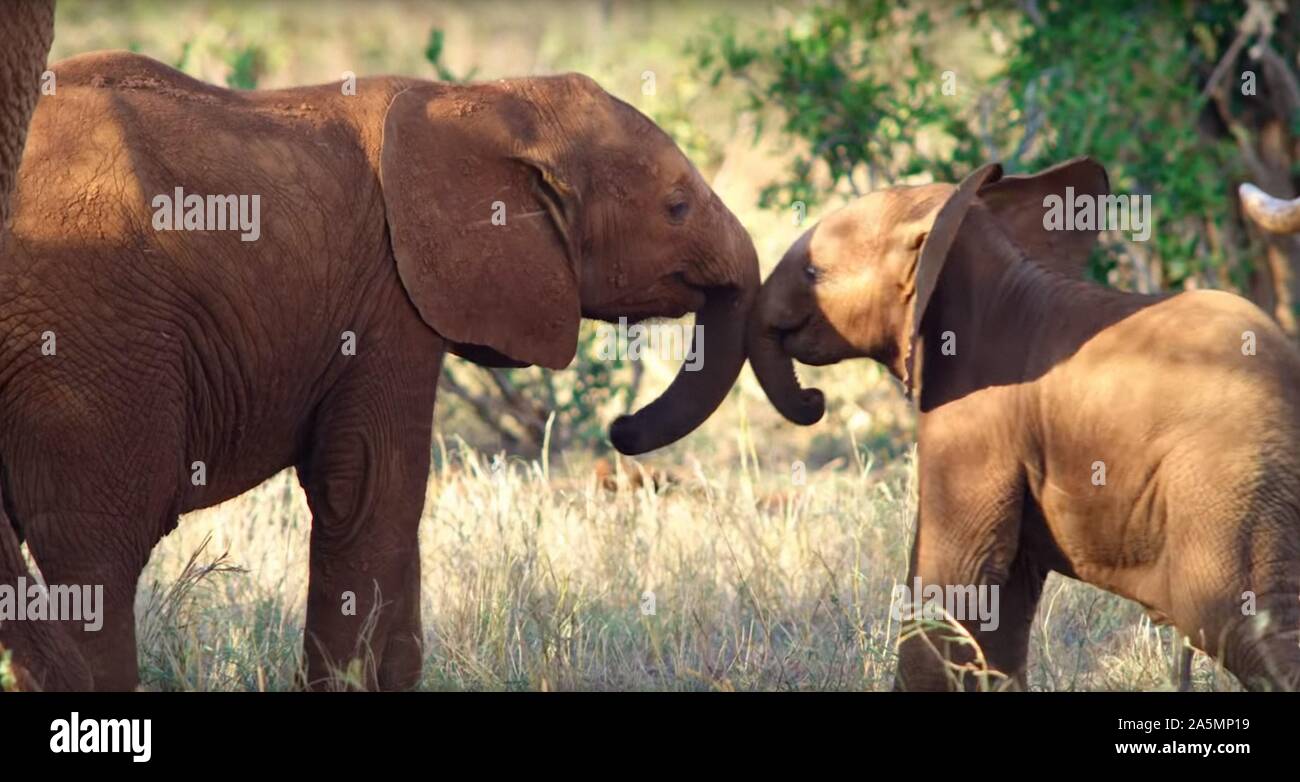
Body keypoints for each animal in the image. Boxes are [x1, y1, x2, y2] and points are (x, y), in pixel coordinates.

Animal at [2, 50, 759, 690]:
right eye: (677, 208)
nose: (621, 431)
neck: (481, 99)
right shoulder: (390, 299)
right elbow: (370, 488)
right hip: (88, 327)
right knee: (98, 546)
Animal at [747, 158, 1300, 691]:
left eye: (814, 272)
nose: (814, 399)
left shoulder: (976, 420)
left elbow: (957, 575)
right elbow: (1002, 604)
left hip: (1227, 485)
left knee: (1239, 623)